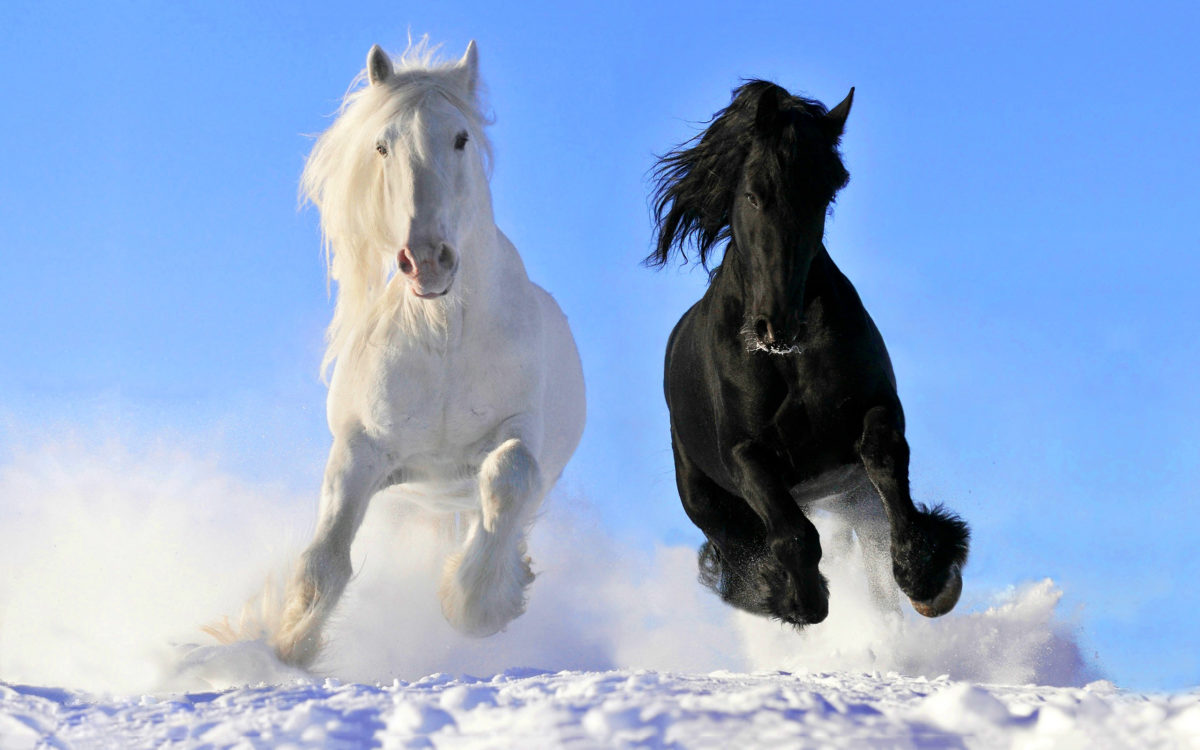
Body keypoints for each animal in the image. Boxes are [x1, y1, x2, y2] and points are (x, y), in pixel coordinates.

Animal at [271, 40, 586, 667]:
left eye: (461, 138)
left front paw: (474, 605)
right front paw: (288, 645)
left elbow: (510, 475)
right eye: (381, 144)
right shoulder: (361, 449)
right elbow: (324, 559)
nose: (426, 260)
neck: (443, 336)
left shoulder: (520, 431)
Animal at [647, 80, 969, 627]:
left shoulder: (875, 410)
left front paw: (927, 576)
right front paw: (796, 597)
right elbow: (792, 534)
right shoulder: (745, 454)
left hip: (851, 497)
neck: (786, 361)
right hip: (707, 500)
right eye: (754, 193)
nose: (776, 325)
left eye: (823, 195)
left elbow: (885, 460)